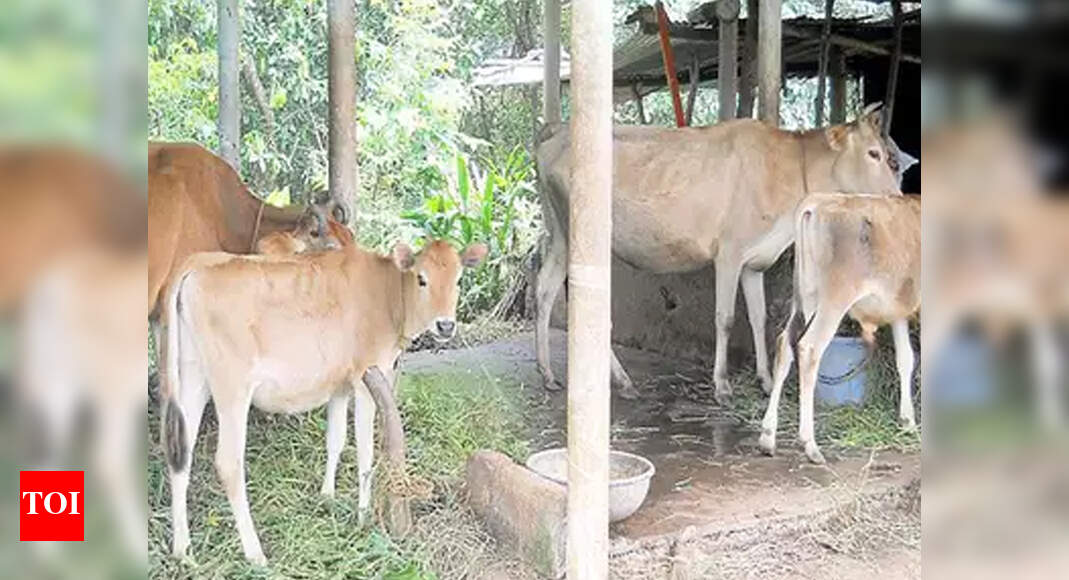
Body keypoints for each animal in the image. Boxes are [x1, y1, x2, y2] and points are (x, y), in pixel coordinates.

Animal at [162, 238, 487, 564]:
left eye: (459, 279)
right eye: (422, 278)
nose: (445, 326)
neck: (388, 292)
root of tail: (199, 263)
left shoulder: (338, 386)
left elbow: (336, 440)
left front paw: (327, 496)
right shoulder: (367, 378)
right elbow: (365, 453)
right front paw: (363, 516)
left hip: (193, 377)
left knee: (181, 452)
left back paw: (183, 549)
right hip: (232, 385)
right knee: (228, 462)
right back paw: (255, 554)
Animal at [535, 104, 901, 401]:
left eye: (889, 154)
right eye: (874, 153)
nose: (897, 197)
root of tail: (557, 131)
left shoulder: (755, 262)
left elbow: (758, 318)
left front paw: (766, 381)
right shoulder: (729, 253)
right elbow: (725, 318)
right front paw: (722, 385)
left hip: (560, 236)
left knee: (544, 289)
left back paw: (548, 374)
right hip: (580, 237)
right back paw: (622, 381)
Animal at [758, 194, 920, 464]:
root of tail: (817, 202)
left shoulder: (898, 307)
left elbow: (906, 359)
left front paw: (908, 422)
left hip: (803, 295)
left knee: (784, 345)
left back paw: (767, 438)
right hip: (834, 298)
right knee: (809, 347)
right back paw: (810, 445)